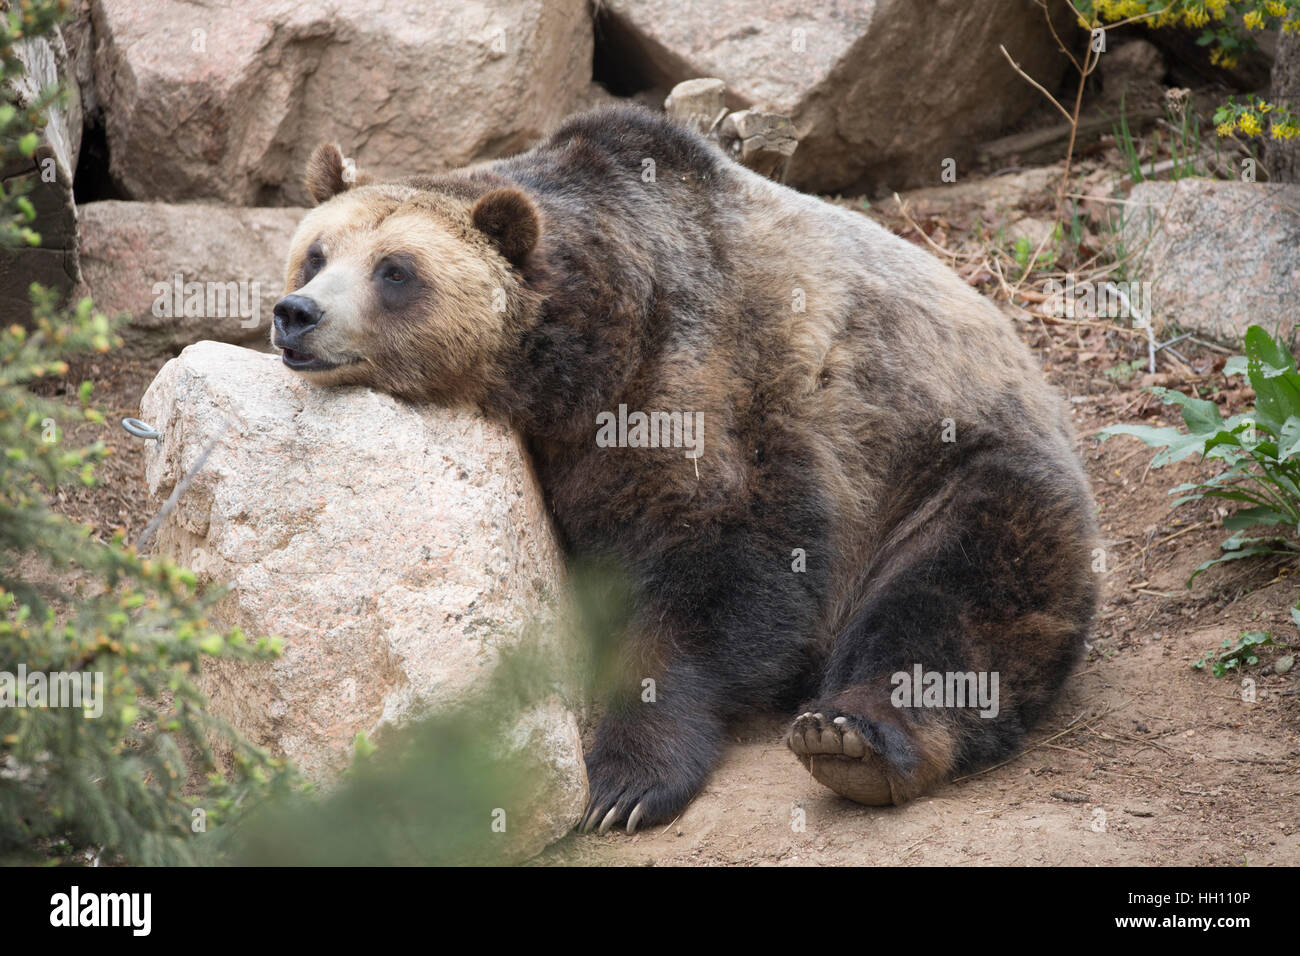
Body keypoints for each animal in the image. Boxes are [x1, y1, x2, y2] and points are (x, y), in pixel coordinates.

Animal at [271, 104, 1099, 835]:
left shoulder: (713, 379)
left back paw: (852, 737)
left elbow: (719, 572)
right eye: (315, 254)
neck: (583, 356)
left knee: (954, 599)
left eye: (395, 270)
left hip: (954, 469)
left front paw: (623, 782)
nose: (297, 314)